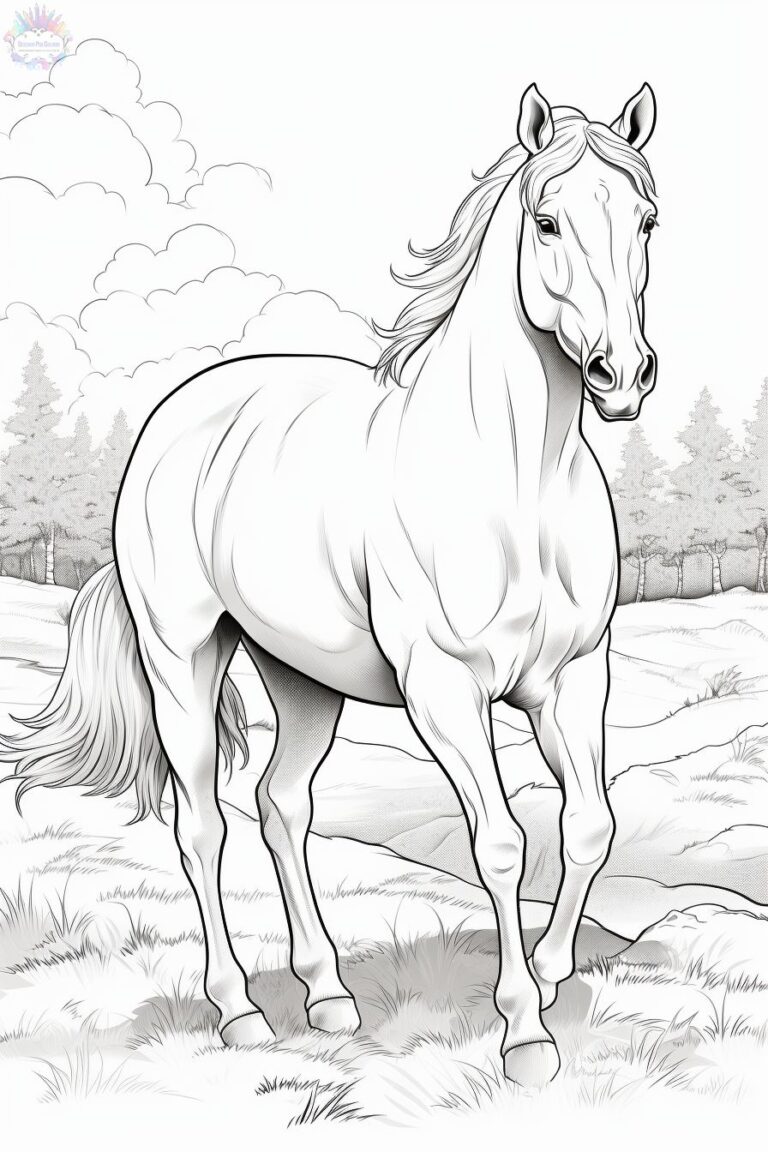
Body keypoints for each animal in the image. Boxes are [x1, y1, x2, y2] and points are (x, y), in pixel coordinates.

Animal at [1, 83, 658, 1089]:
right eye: (547, 223)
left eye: (647, 221)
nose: (621, 376)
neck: (515, 483)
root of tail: (174, 417)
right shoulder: (445, 692)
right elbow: (503, 843)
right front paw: (524, 1034)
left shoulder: (575, 677)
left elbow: (588, 824)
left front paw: (550, 976)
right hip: (182, 660)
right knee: (203, 825)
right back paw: (238, 1012)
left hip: (301, 674)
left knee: (281, 808)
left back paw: (328, 995)